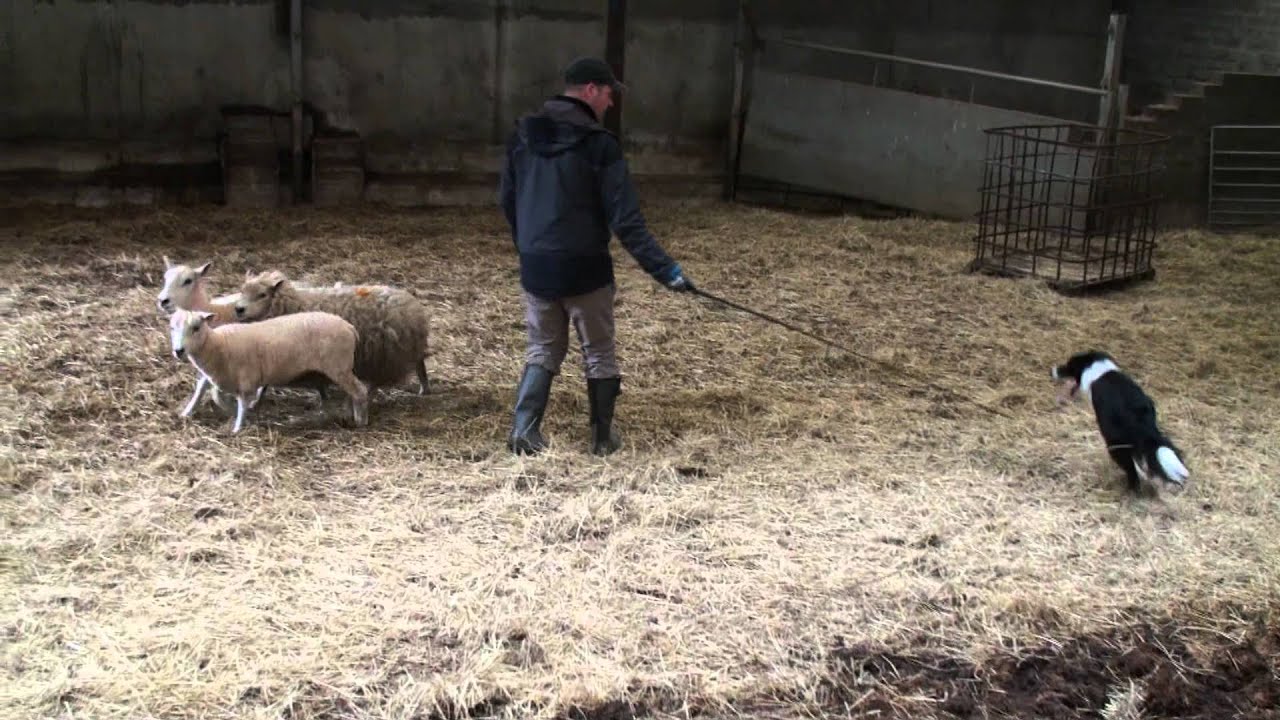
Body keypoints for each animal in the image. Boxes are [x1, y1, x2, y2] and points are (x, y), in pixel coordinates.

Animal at [168, 309, 369, 433]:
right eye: (172, 328)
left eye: (196, 327)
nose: (179, 351)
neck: (217, 344)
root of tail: (349, 327)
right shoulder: (213, 377)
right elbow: (206, 393)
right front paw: (187, 412)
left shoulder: (246, 379)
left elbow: (239, 404)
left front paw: (237, 427)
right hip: (341, 369)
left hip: (339, 367)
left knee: (360, 391)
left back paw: (361, 420)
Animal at [232, 271, 431, 395]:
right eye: (242, 291)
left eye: (262, 294)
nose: (239, 309)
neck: (293, 303)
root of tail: (414, 307)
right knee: (420, 363)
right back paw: (424, 388)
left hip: (386, 351)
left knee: (381, 378)